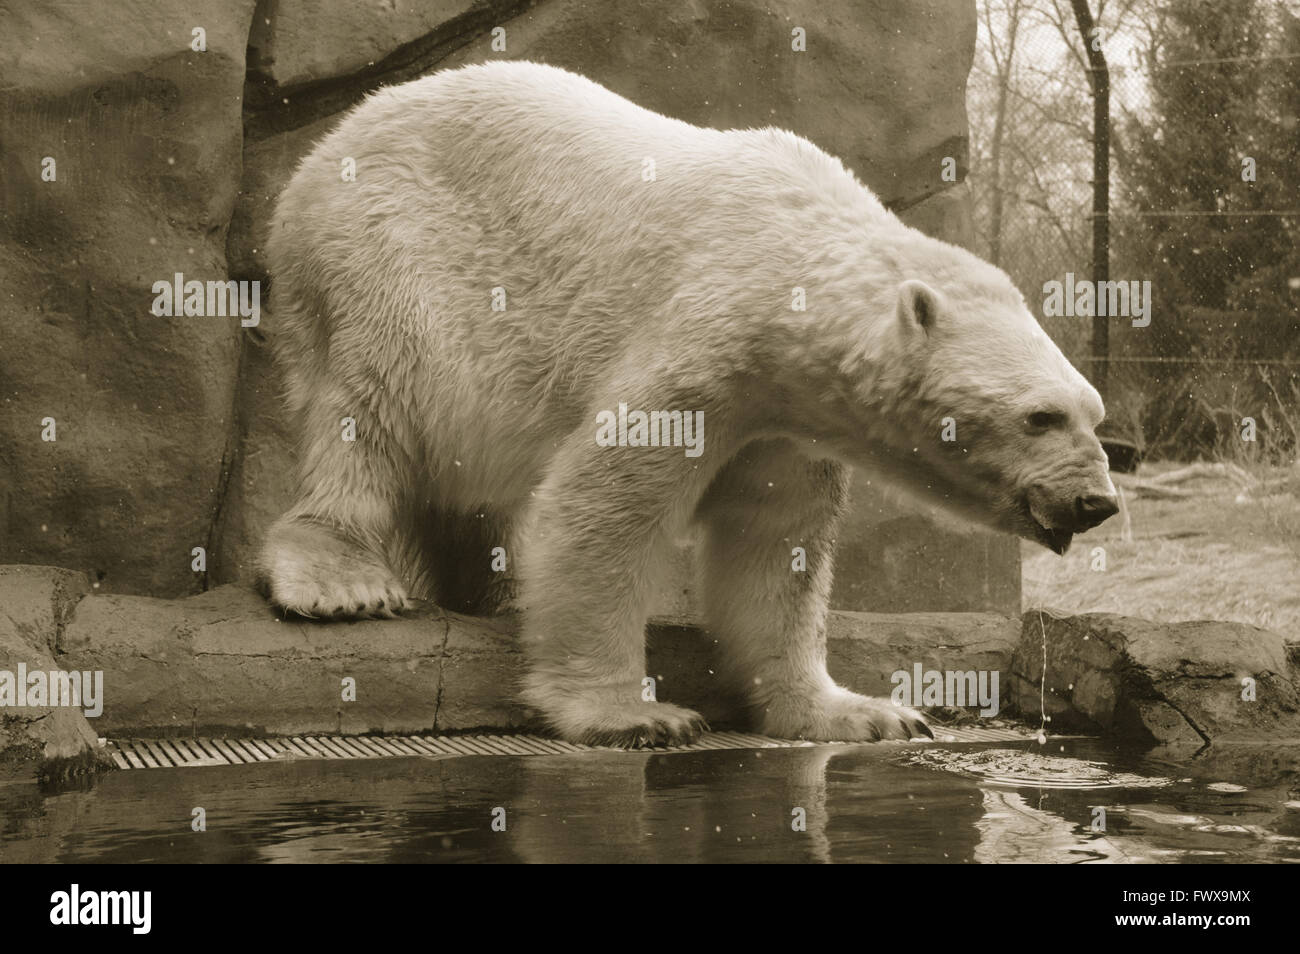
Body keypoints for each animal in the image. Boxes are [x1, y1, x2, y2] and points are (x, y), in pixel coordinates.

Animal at [258, 61, 1118, 747]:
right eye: (1040, 417)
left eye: (1095, 415)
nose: (1097, 501)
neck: (795, 265)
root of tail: (313, 162)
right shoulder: (706, 340)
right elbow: (601, 508)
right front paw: (635, 714)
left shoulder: (785, 418)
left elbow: (773, 548)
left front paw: (862, 711)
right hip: (385, 256)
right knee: (374, 407)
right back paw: (343, 580)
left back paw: (491, 591)